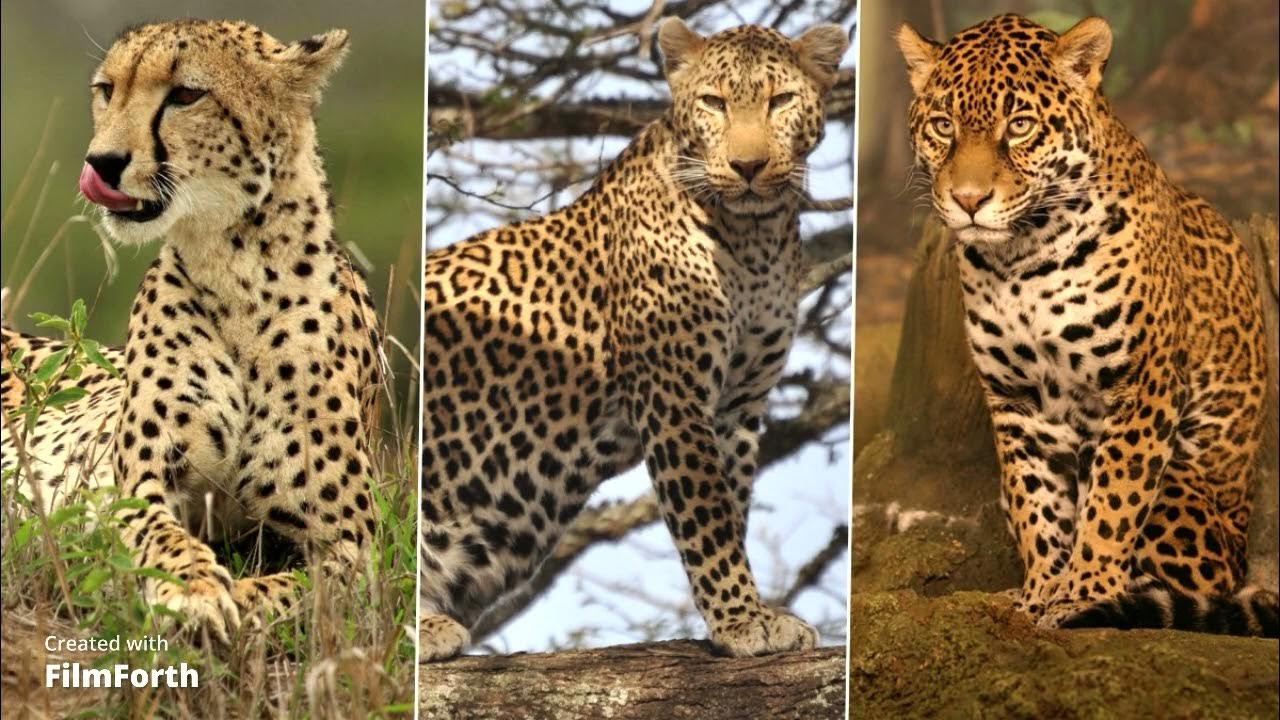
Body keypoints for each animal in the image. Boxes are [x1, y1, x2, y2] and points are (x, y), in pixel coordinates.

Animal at [1, 19, 384, 642]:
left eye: (185, 95)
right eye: (107, 90)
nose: (101, 162)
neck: (241, 270)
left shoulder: (352, 546)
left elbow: (302, 593)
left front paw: (241, 600)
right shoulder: (139, 487)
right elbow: (164, 540)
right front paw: (196, 591)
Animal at [418, 18, 849, 660]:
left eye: (781, 101)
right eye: (714, 103)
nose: (747, 166)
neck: (756, 238)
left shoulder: (738, 405)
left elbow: (732, 509)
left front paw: (741, 616)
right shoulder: (674, 398)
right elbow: (708, 519)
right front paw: (743, 621)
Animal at [897, 13, 1277, 636]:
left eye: (1020, 126)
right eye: (943, 126)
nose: (969, 200)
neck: (1023, 259)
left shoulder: (1143, 387)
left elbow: (1111, 505)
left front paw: (1085, 592)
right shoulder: (1017, 400)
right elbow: (1035, 504)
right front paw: (1040, 593)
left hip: (1186, 505)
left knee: (1200, 581)